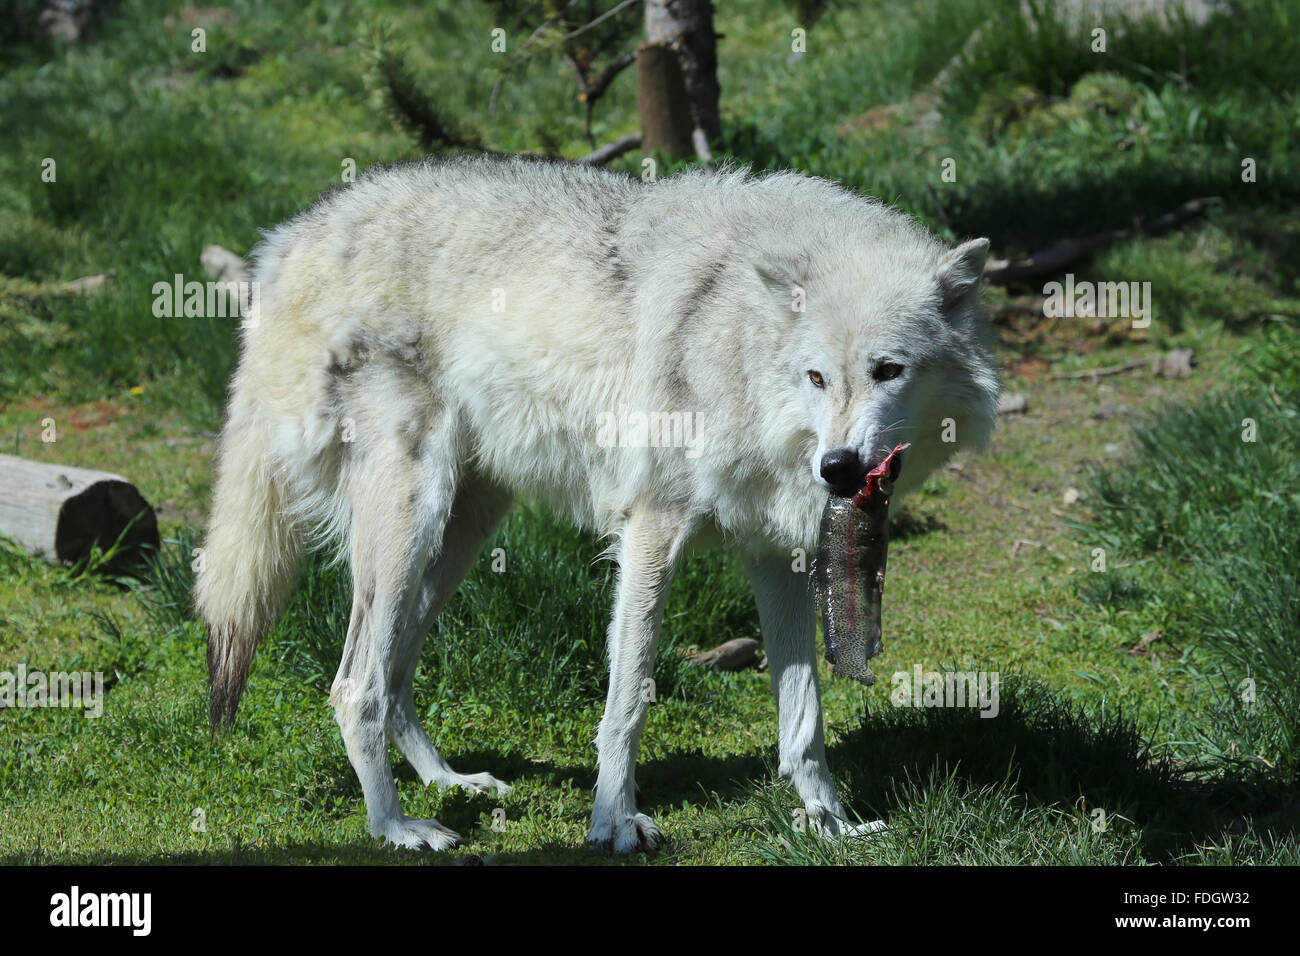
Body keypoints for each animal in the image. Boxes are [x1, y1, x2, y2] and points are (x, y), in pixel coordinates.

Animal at [196, 153, 998, 853]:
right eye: (817, 377)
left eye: (888, 370)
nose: (837, 469)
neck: (737, 342)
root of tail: (290, 237)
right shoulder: (652, 530)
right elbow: (628, 701)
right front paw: (613, 822)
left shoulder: (777, 556)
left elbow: (804, 719)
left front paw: (829, 823)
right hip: (411, 524)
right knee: (353, 685)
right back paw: (396, 828)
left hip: (461, 532)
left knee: (393, 676)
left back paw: (450, 781)